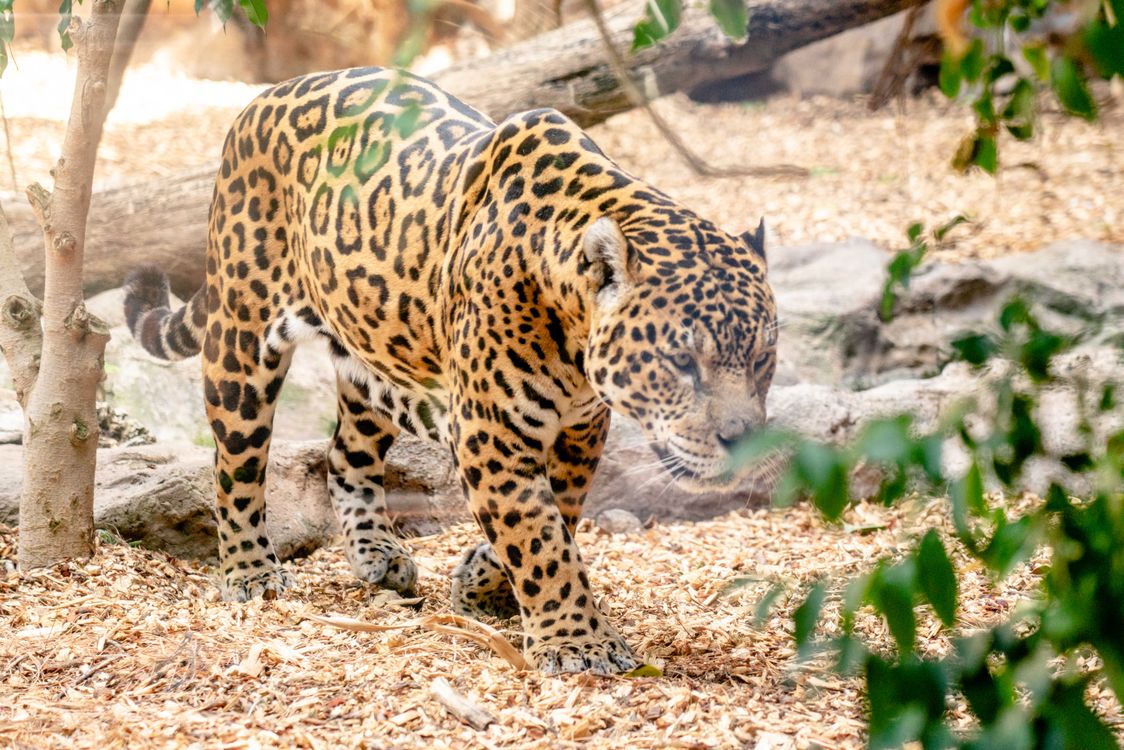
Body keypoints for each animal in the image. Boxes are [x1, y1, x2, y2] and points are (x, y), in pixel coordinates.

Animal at [123, 67, 778, 675]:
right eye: (683, 363)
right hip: (242, 337)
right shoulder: (491, 431)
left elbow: (557, 517)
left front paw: (483, 582)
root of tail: (263, 97)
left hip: (377, 357)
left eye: (763, 359)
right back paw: (250, 571)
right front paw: (577, 642)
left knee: (345, 456)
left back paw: (377, 552)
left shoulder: (581, 430)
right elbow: (538, 535)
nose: (743, 439)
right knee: (236, 462)